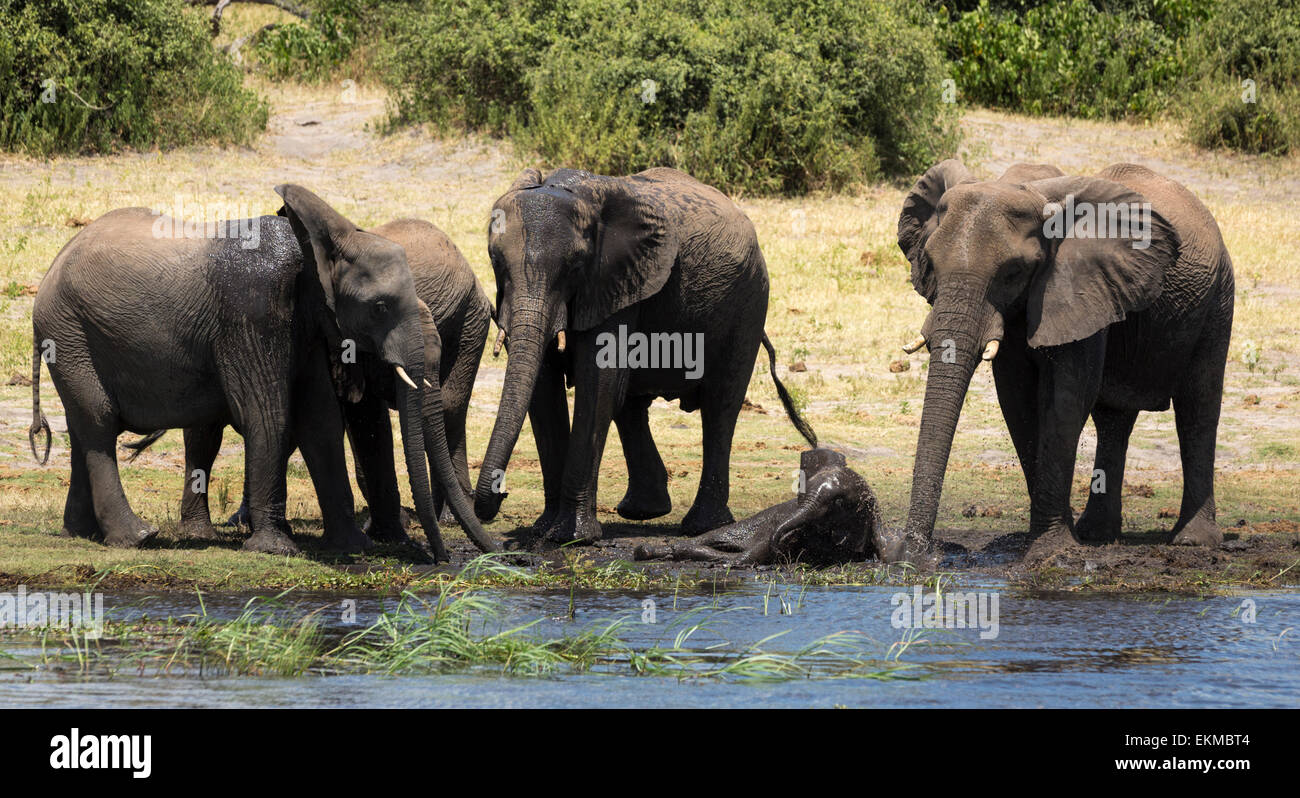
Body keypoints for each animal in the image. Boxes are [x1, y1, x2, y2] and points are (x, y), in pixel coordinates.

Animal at [29, 185, 491, 557]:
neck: (319, 245)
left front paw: (352, 547)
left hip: (70, 335)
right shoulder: (254, 310)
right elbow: (269, 414)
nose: (440, 558)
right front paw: (276, 549)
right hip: (68, 329)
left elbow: (321, 422)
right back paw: (138, 537)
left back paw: (82, 533)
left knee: (83, 426)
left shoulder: (306, 327)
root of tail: (50, 270)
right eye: (380, 307)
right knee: (99, 420)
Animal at [473, 166, 818, 545]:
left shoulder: (615, 282)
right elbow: (544, 388)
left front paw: (571, 536)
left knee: (720, 405)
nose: (500, 494)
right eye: (495, 261)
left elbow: (597, 384)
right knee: (631, 403)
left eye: (576, 266)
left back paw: (702, 526)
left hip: (749, 302)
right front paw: (544, 531)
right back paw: (642, 511)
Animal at [892, 160, 1234, 562]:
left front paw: (1049, 549)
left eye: (1013, 272)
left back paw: (1193, 541)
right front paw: (1055, 540)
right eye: (929, 263)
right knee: (1114, 420)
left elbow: (1066, 398)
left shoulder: (1081, 285)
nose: (913, 554)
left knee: (1198, 409)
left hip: (1217, 300)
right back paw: (1097, 534)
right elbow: (1017, 400)